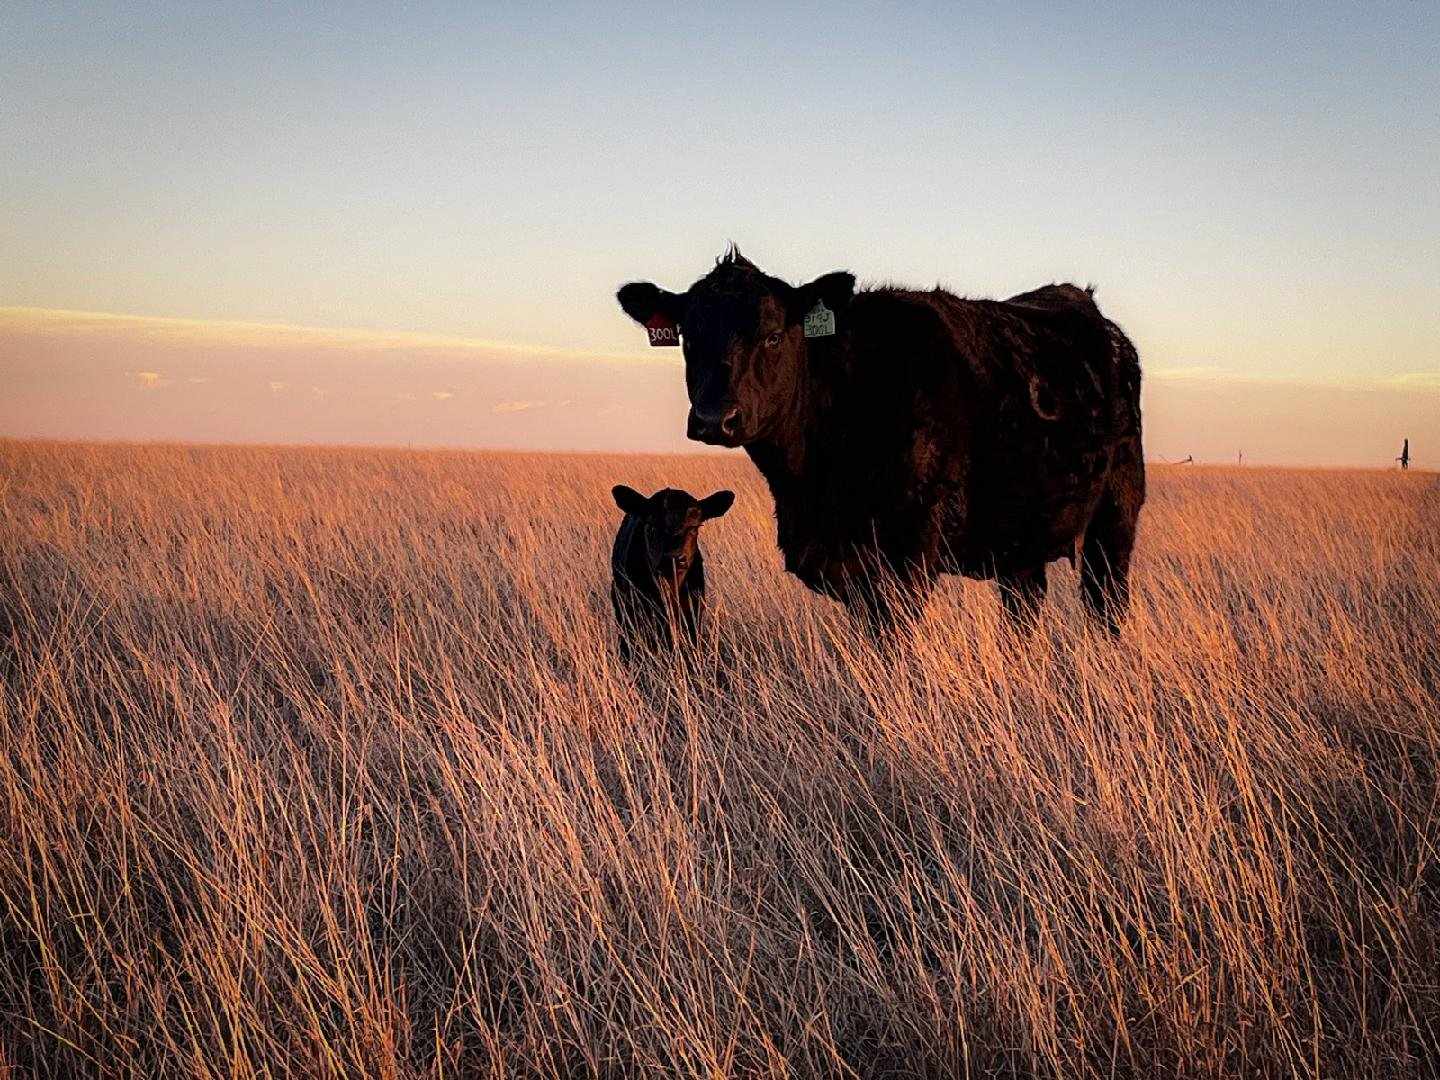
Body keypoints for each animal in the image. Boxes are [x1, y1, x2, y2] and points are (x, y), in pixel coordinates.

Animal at [616, 247, 1145, 632]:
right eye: (689, 337)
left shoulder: (907, 557)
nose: (714, 418)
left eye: (772, 336)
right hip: (1022, 542)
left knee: (1106, 609)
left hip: (1114, 523)